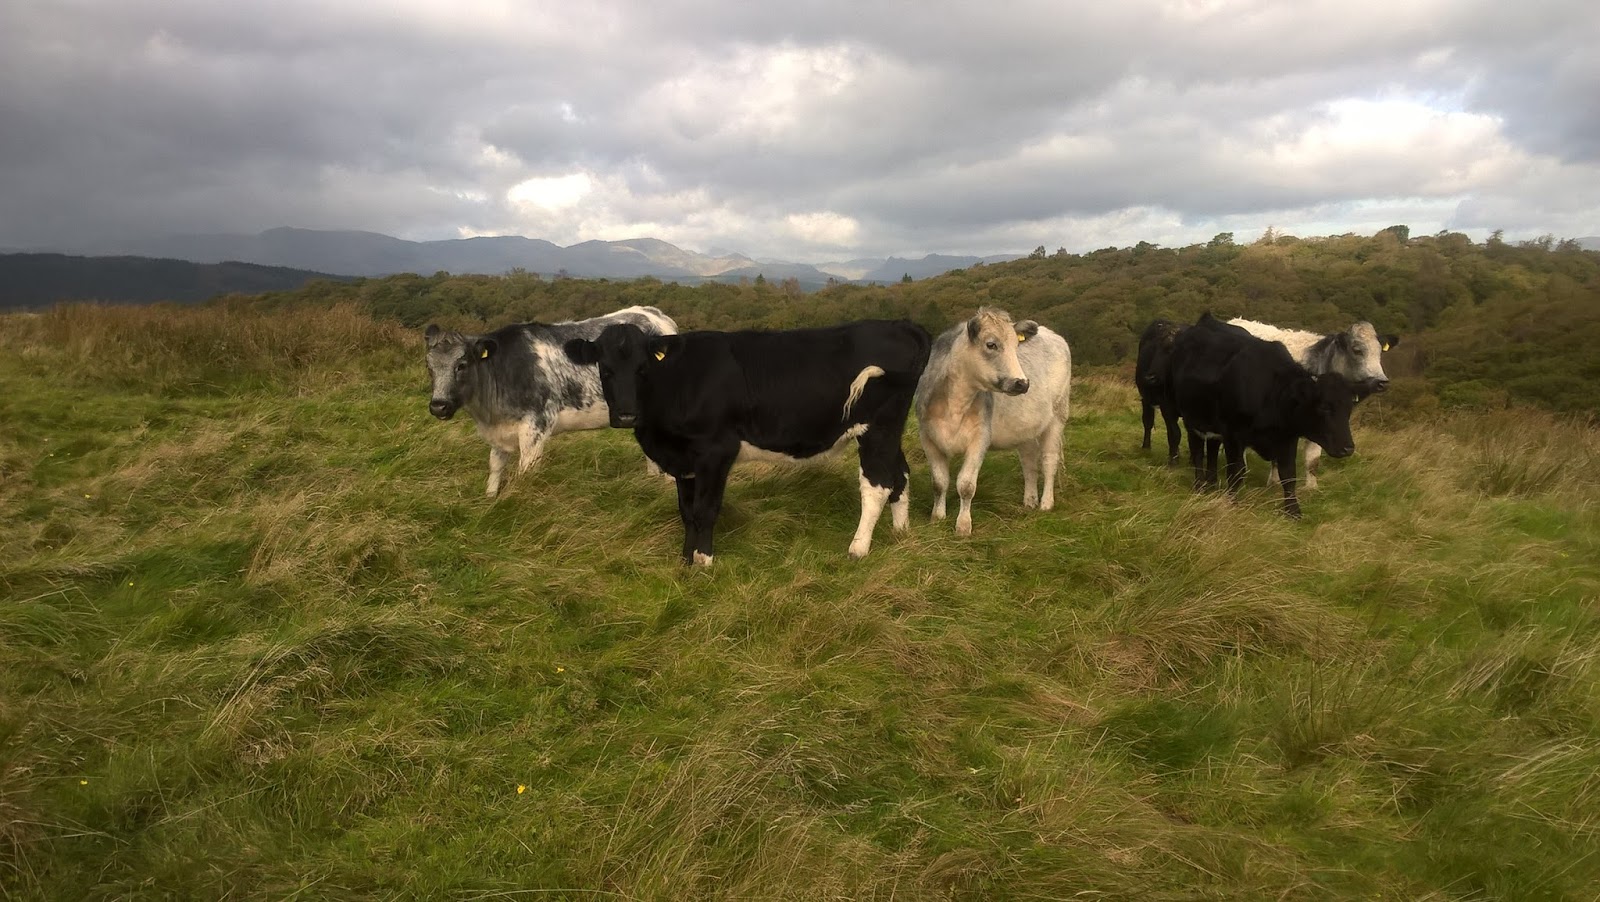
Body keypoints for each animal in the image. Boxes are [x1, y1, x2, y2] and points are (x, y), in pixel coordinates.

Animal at [424, 305, 677, 497]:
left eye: (462, 365)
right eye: (429, 366)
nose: (438, 406)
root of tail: (654, 314)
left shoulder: (536, 427)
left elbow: (525, 473)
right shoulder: (498, 432)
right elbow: (495, 467)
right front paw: (490, 499)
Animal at [563, 320, 931, 565]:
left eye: (643, 369)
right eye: (605, 368)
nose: (626, 415)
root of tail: (901, 324)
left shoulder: (715, 451)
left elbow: (705, 510)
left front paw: (704, 562)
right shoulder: (684, 461)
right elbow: (687, 511)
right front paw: (684, 561)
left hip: (877, 428)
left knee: (878, 484)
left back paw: (858, 549)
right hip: (891, 431)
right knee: (901, 474)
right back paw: (901, 533)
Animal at [915, 307, 1072, 536]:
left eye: (1016, 346)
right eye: (991, 344)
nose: (1022, 383)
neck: (954, 405)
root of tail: (1052, 334)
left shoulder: (980, 438)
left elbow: (966, 485)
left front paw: (963, 526)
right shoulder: (928, 437)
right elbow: (939, 482)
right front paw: (937, 517)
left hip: (1058, 416)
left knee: (1049, 460)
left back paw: (1045, 503)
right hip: (1025, 428)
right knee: (1029, 461)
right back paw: (1030, 500)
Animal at [1135, 318, 1187, 463]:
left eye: (1171, 350)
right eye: (1155, 349)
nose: (1150, 377)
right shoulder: (1166, 406)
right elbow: (1174, 433)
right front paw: (1173, 459)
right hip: (1146, 399)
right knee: (1147, 421)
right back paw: (1146, 447)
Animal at [1164, 313, 1356, 519]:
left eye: (1349, 409)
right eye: (1324, 407)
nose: (1348, 448)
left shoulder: (1287, 438)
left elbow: (1288, 474)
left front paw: (1293, 511)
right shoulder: (1233, 434)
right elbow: (1237, 470)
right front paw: (1231, 502)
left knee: (1213, 449)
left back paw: (1211, 482)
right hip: (1191, 418)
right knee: (1198, 451)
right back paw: (1200, 485)